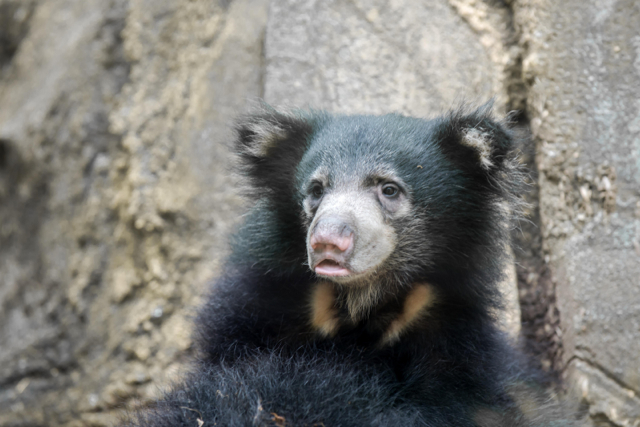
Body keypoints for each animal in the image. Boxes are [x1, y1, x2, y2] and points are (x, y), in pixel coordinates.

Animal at [125, 105, 572, 426]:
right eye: (316, 189)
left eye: (389, 189)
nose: (328, 241)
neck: (359, 301)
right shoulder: (255, 310)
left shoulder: (446, 331)